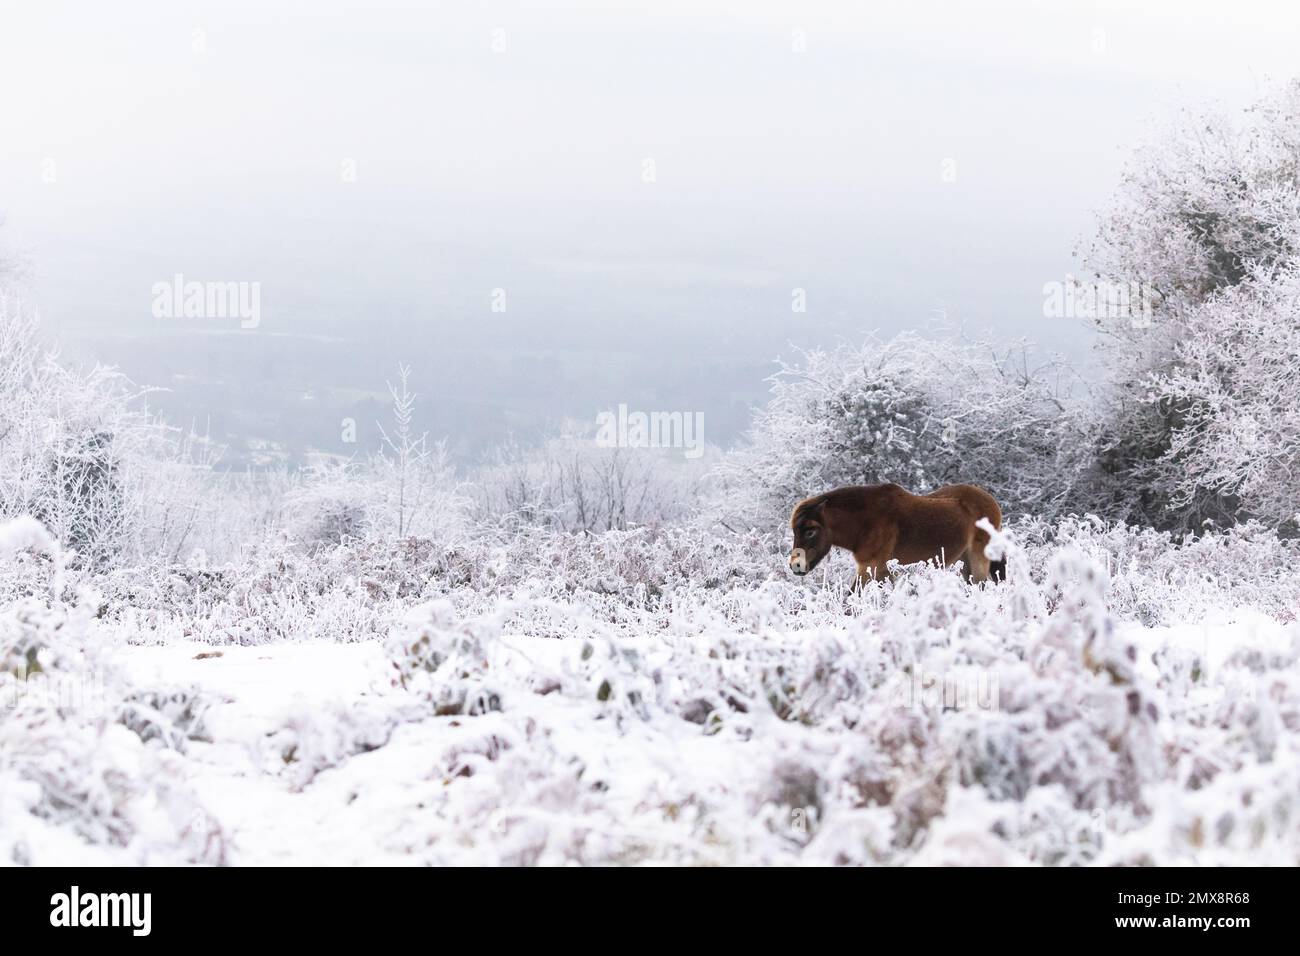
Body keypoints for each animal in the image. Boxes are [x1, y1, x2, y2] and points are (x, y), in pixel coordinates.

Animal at [788, 483, 1005, 586]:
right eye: (795, 530)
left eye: (810, 530)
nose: (795, 566)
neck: (866, 521)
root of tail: (991, 501)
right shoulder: (883, 572)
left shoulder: (870, 567)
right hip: (964, 561)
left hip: (979, 559)